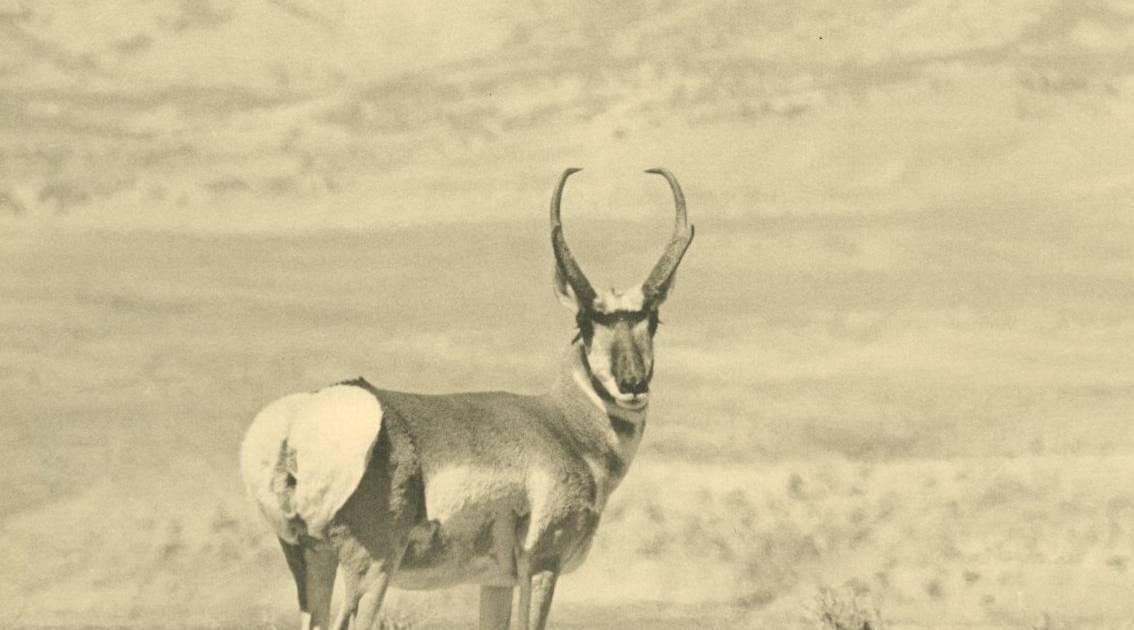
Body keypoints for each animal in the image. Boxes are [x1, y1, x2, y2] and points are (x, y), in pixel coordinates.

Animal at [239, 168, 695, 630]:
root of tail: (298, 424)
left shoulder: (496, 582)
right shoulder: (543, 564)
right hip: (371, 566)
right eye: (584, 321)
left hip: (310, 560)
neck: (563, 425)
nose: (632, 383)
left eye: (653, 319)